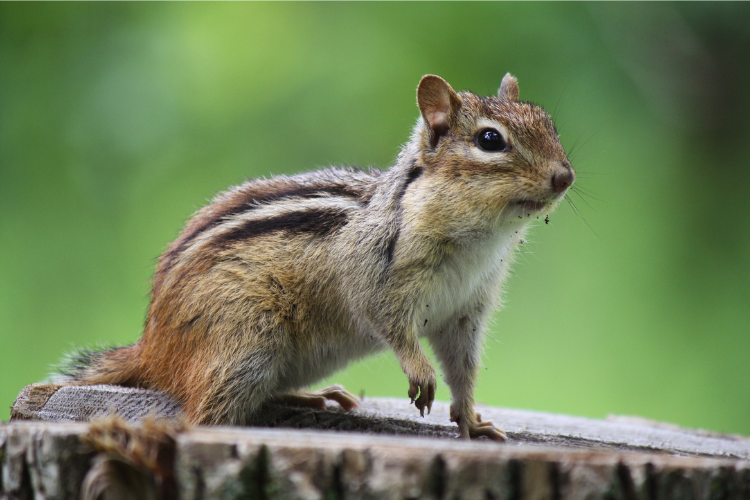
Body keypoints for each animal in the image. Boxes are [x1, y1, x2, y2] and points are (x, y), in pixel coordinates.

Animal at [57, 74, 574, 441]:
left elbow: (463, 369)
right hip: (245, 345)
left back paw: (310, 397)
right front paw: (420, 371)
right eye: (490, 140)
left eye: (549, 125)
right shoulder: (375, 276)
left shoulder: (467, 311)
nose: (565, 177)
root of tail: (152, 348)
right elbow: (389, 323)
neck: (480, 241)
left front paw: (471, 421)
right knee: (200, 415)